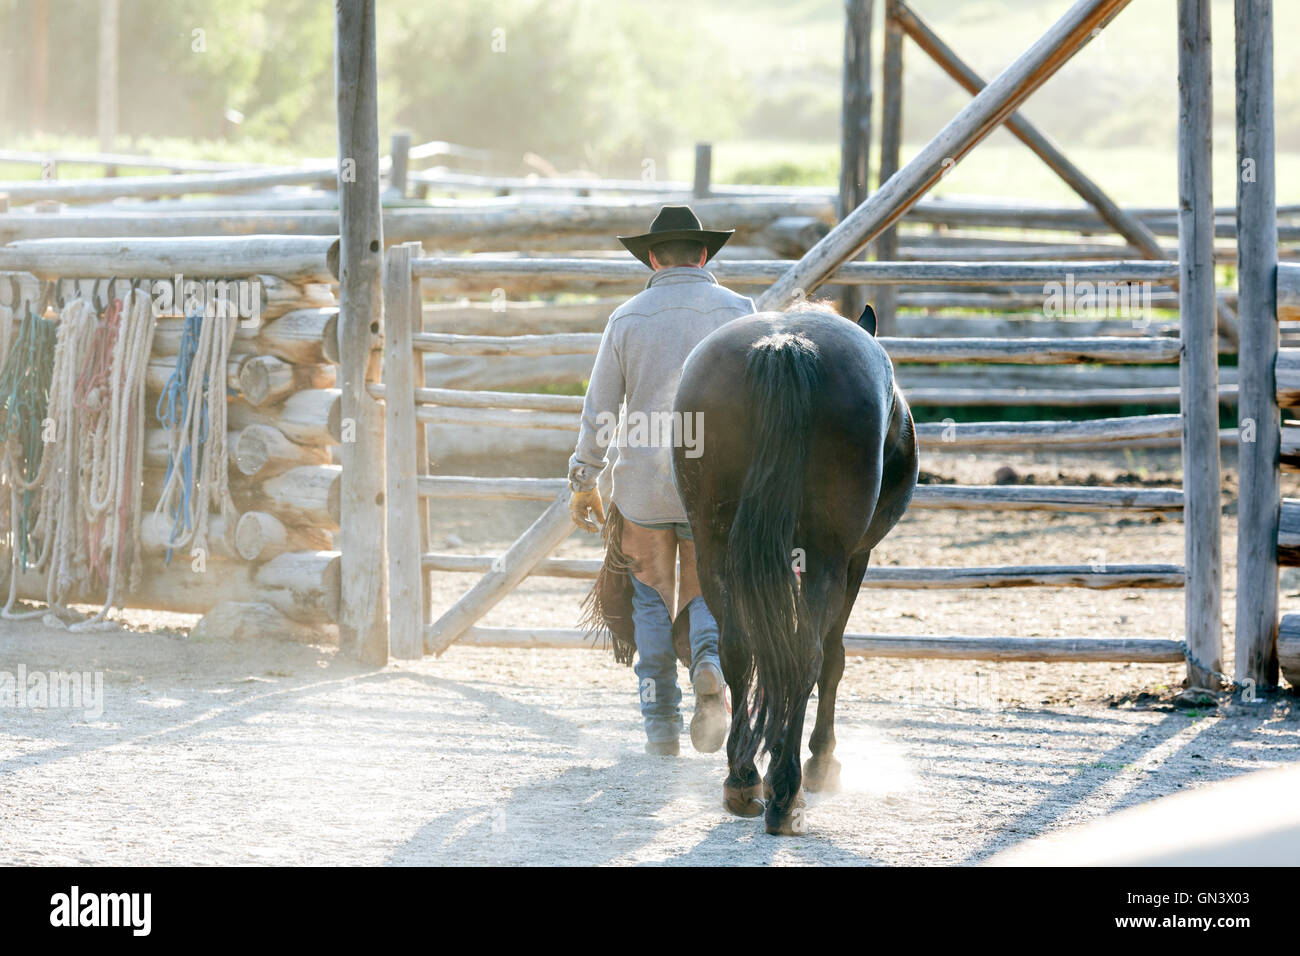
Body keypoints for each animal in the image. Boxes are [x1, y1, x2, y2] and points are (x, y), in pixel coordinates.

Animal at [671, 302, 918, 836]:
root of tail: (783, 345)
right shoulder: (855, 559)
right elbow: (833, 657)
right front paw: (823, 762)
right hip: (827, 556)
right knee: (807, 654)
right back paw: (787, 792)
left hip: (714, 546)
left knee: (739, 648)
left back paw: (743, 779)